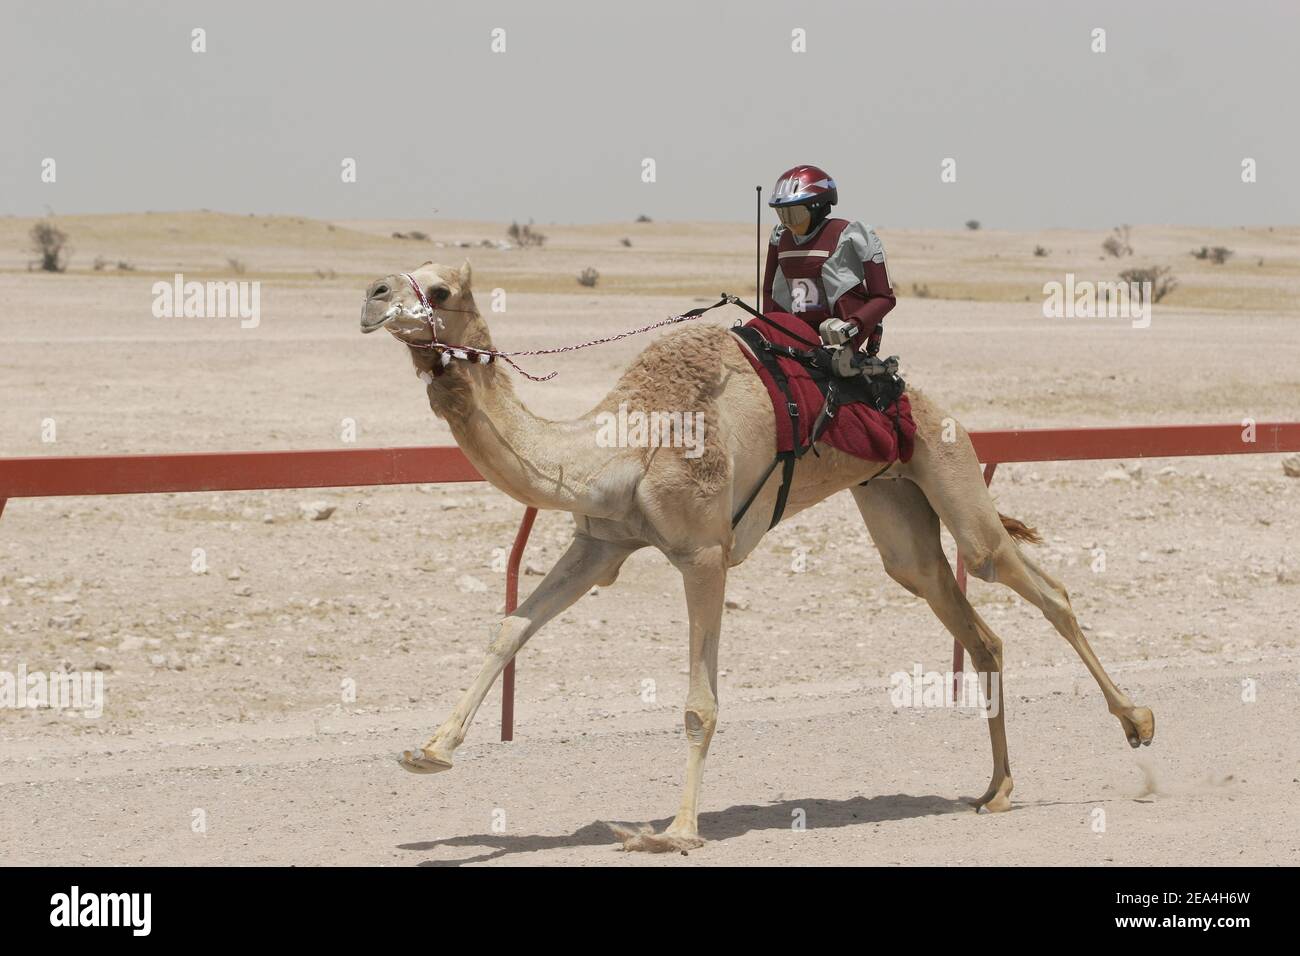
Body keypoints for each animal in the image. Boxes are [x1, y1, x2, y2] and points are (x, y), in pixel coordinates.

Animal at [359, 260, 1155, 852]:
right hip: (894, 506)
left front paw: (675, 830)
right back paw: (996, 790)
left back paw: (1138, 727)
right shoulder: (601, 543)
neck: (622, 447)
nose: (371, 296)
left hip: (950, 465)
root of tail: (920, 397)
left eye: (439, 290)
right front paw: (429, 751)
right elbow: (510, 629)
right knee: (966, 616)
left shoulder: (704, 553)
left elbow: (698, 705)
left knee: (1027, 580)